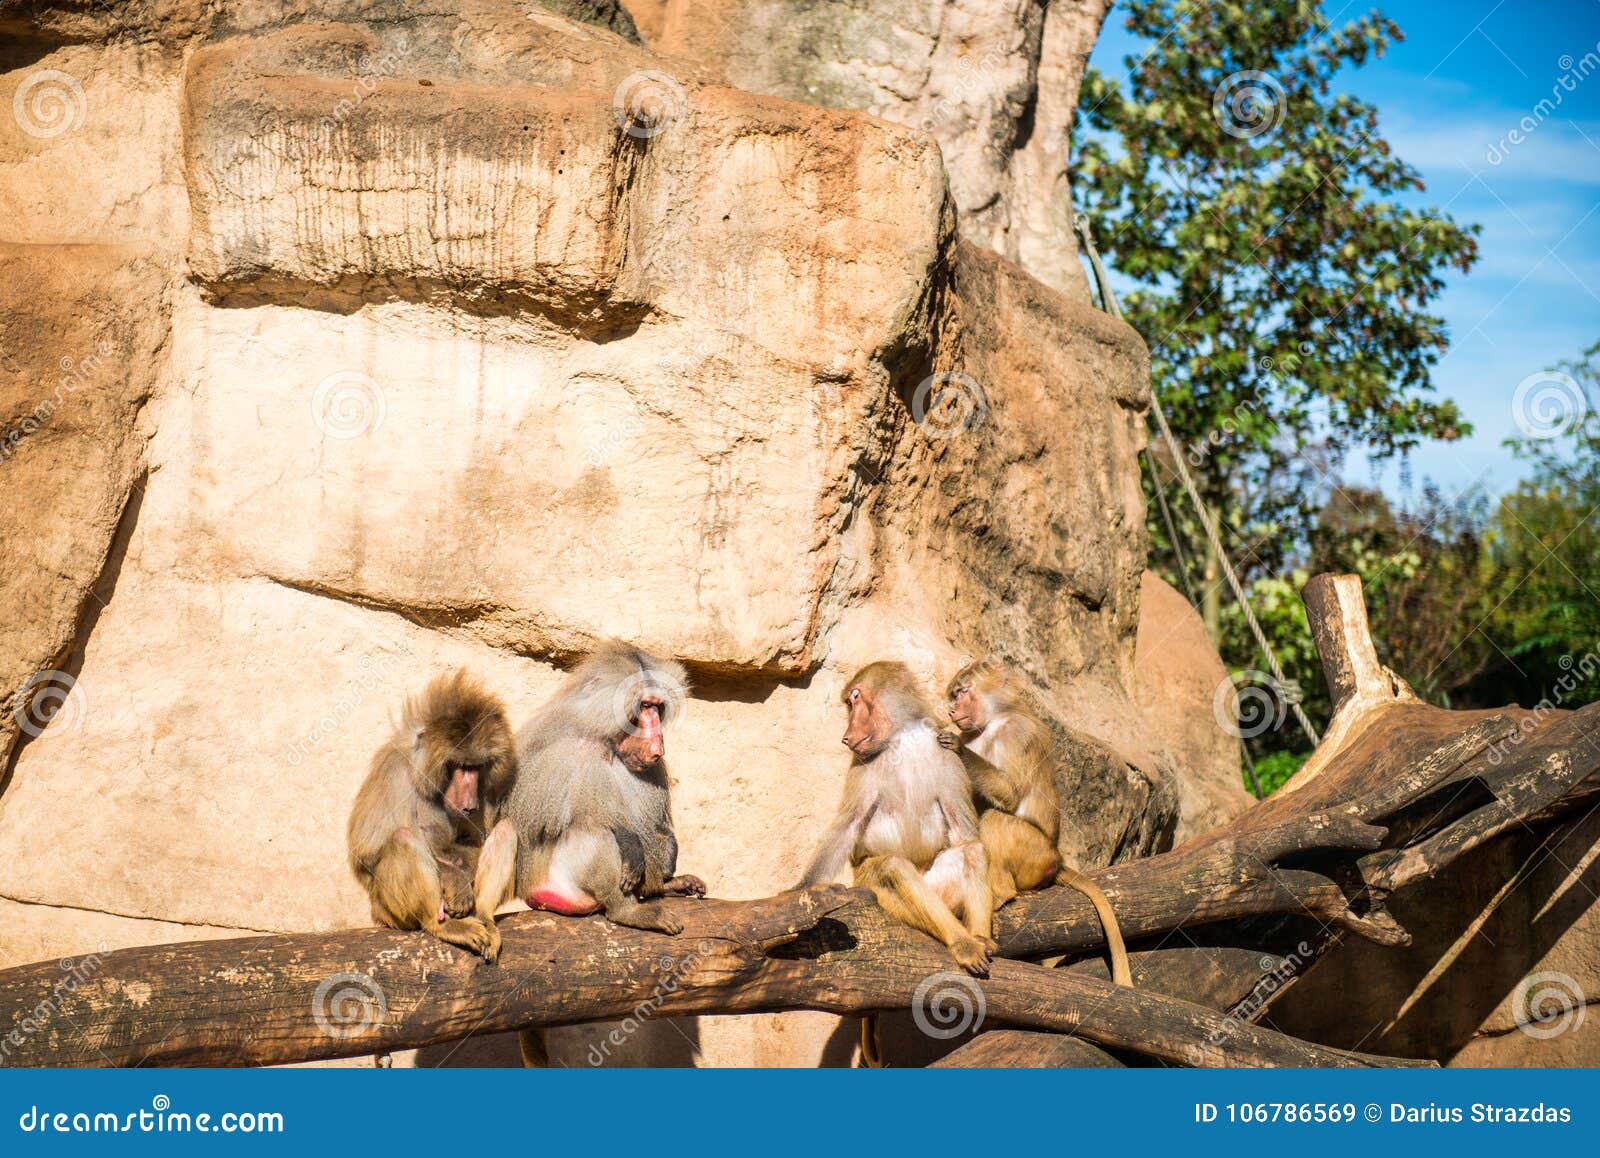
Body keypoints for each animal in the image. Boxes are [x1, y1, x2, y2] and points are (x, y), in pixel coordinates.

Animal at [347, 669, 519, 963]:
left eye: (477, 767)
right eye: (459, 765)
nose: (469, 804)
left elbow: (474, 840)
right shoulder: (393, 771)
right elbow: (367, 850)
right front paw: (455, 881)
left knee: (506, 829)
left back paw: (485, 917)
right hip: (390, 910)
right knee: (402, 838)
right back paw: (442, 925)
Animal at [490, 640, 706, 939]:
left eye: (657, 707)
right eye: (644, 706)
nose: (657, 747)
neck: (608, 744)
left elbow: (659, 832)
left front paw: (668, 856)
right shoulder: (558, 753)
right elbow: (538, 820)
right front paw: (629, 840)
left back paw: (668, 887)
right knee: (593, 832)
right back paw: (629, 911)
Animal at [799, 661, 995, 979]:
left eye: (855, 699)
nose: (846, 736)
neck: (904, 739)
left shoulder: (947, 753)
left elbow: (965, 834)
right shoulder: (862, 763)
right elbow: (848, 827)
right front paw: (799, 891)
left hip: (942, 892)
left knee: (973, 851)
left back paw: (979, 939)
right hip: (879, 895)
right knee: (894, 866)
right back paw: (962, 944)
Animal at [940, 658, 1133, 987]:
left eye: (961, 693)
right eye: (954, 696)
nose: (952, 712)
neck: (995, 719)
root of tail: (1058, 858)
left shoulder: (1017, 734)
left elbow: (1008, 795)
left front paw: (957, 748)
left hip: (1037, 855)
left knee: (996, 820)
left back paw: (1002, 893)